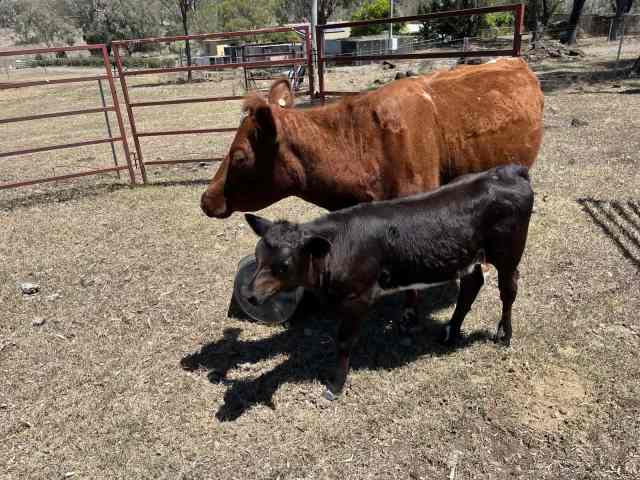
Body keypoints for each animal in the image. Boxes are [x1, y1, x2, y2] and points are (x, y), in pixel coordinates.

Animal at [243, 165, 534, 400]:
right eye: (257, 256)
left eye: (284, 265)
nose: (249, 296)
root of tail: (510, 170)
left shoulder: (359, 296)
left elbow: (344, 340)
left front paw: (335, 386)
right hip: (466, 256)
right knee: (472, 285)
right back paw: (450, 333)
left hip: (508, 252)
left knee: (508, 289)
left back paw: (504, 334)